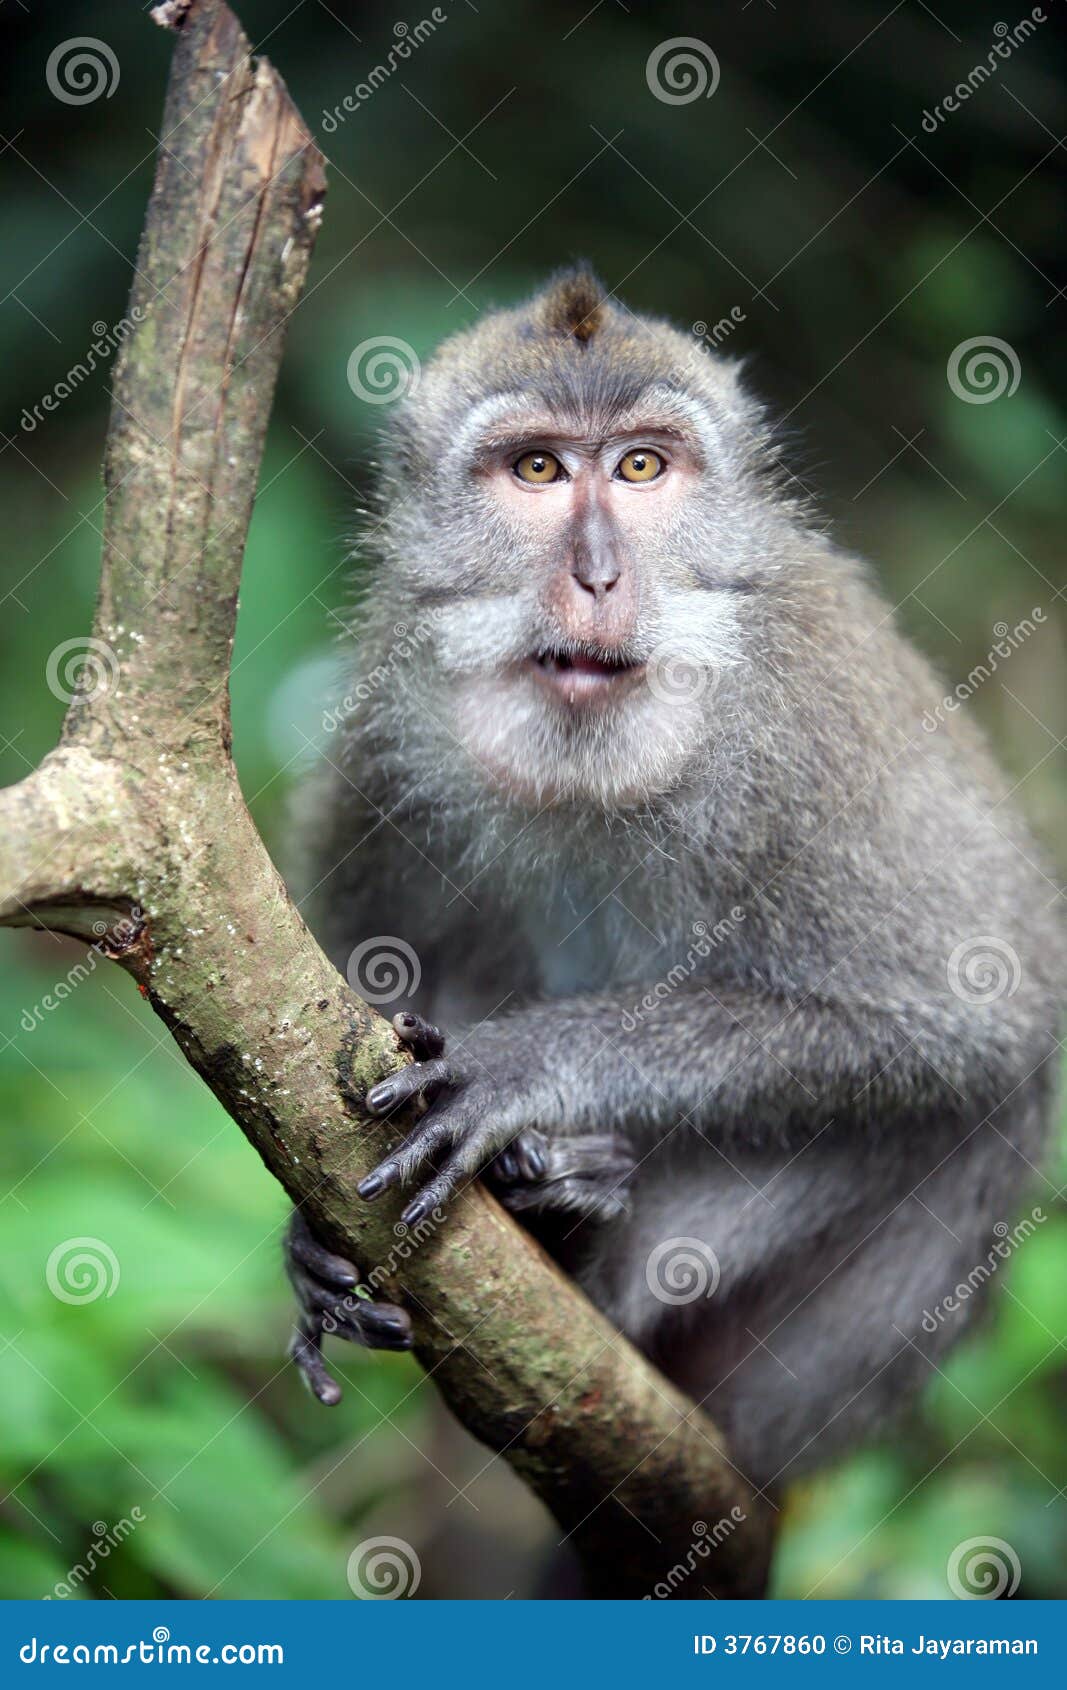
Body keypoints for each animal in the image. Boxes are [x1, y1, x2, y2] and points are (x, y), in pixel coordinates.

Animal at [284, 267, 1063, 1498]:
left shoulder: (806, 717)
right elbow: (377, 966)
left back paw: (585, 1240)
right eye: (538, 469)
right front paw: (309, 1245)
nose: (599, 573)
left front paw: (526, 1066)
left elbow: (970, 1016)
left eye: (642, 467)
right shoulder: (381, 733)